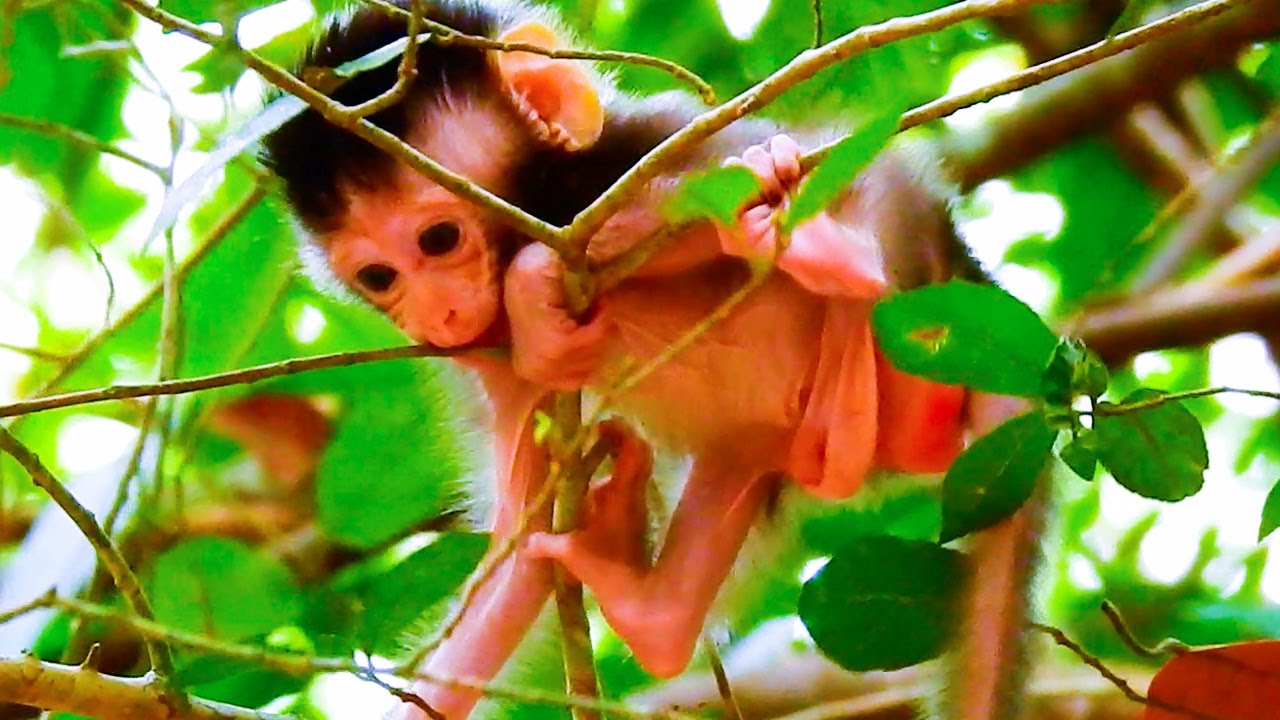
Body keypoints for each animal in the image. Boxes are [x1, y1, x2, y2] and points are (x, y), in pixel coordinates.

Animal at [260, 2, 1020, 718]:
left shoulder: (630, 156)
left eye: (439, 239)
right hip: (776, 438)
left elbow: (695, 197)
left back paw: (840, 257)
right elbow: (521, 550)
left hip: (917, 252)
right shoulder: (489, 363)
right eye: (379, 277)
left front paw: (534, 289)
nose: (435, 315)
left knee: (849, 181)